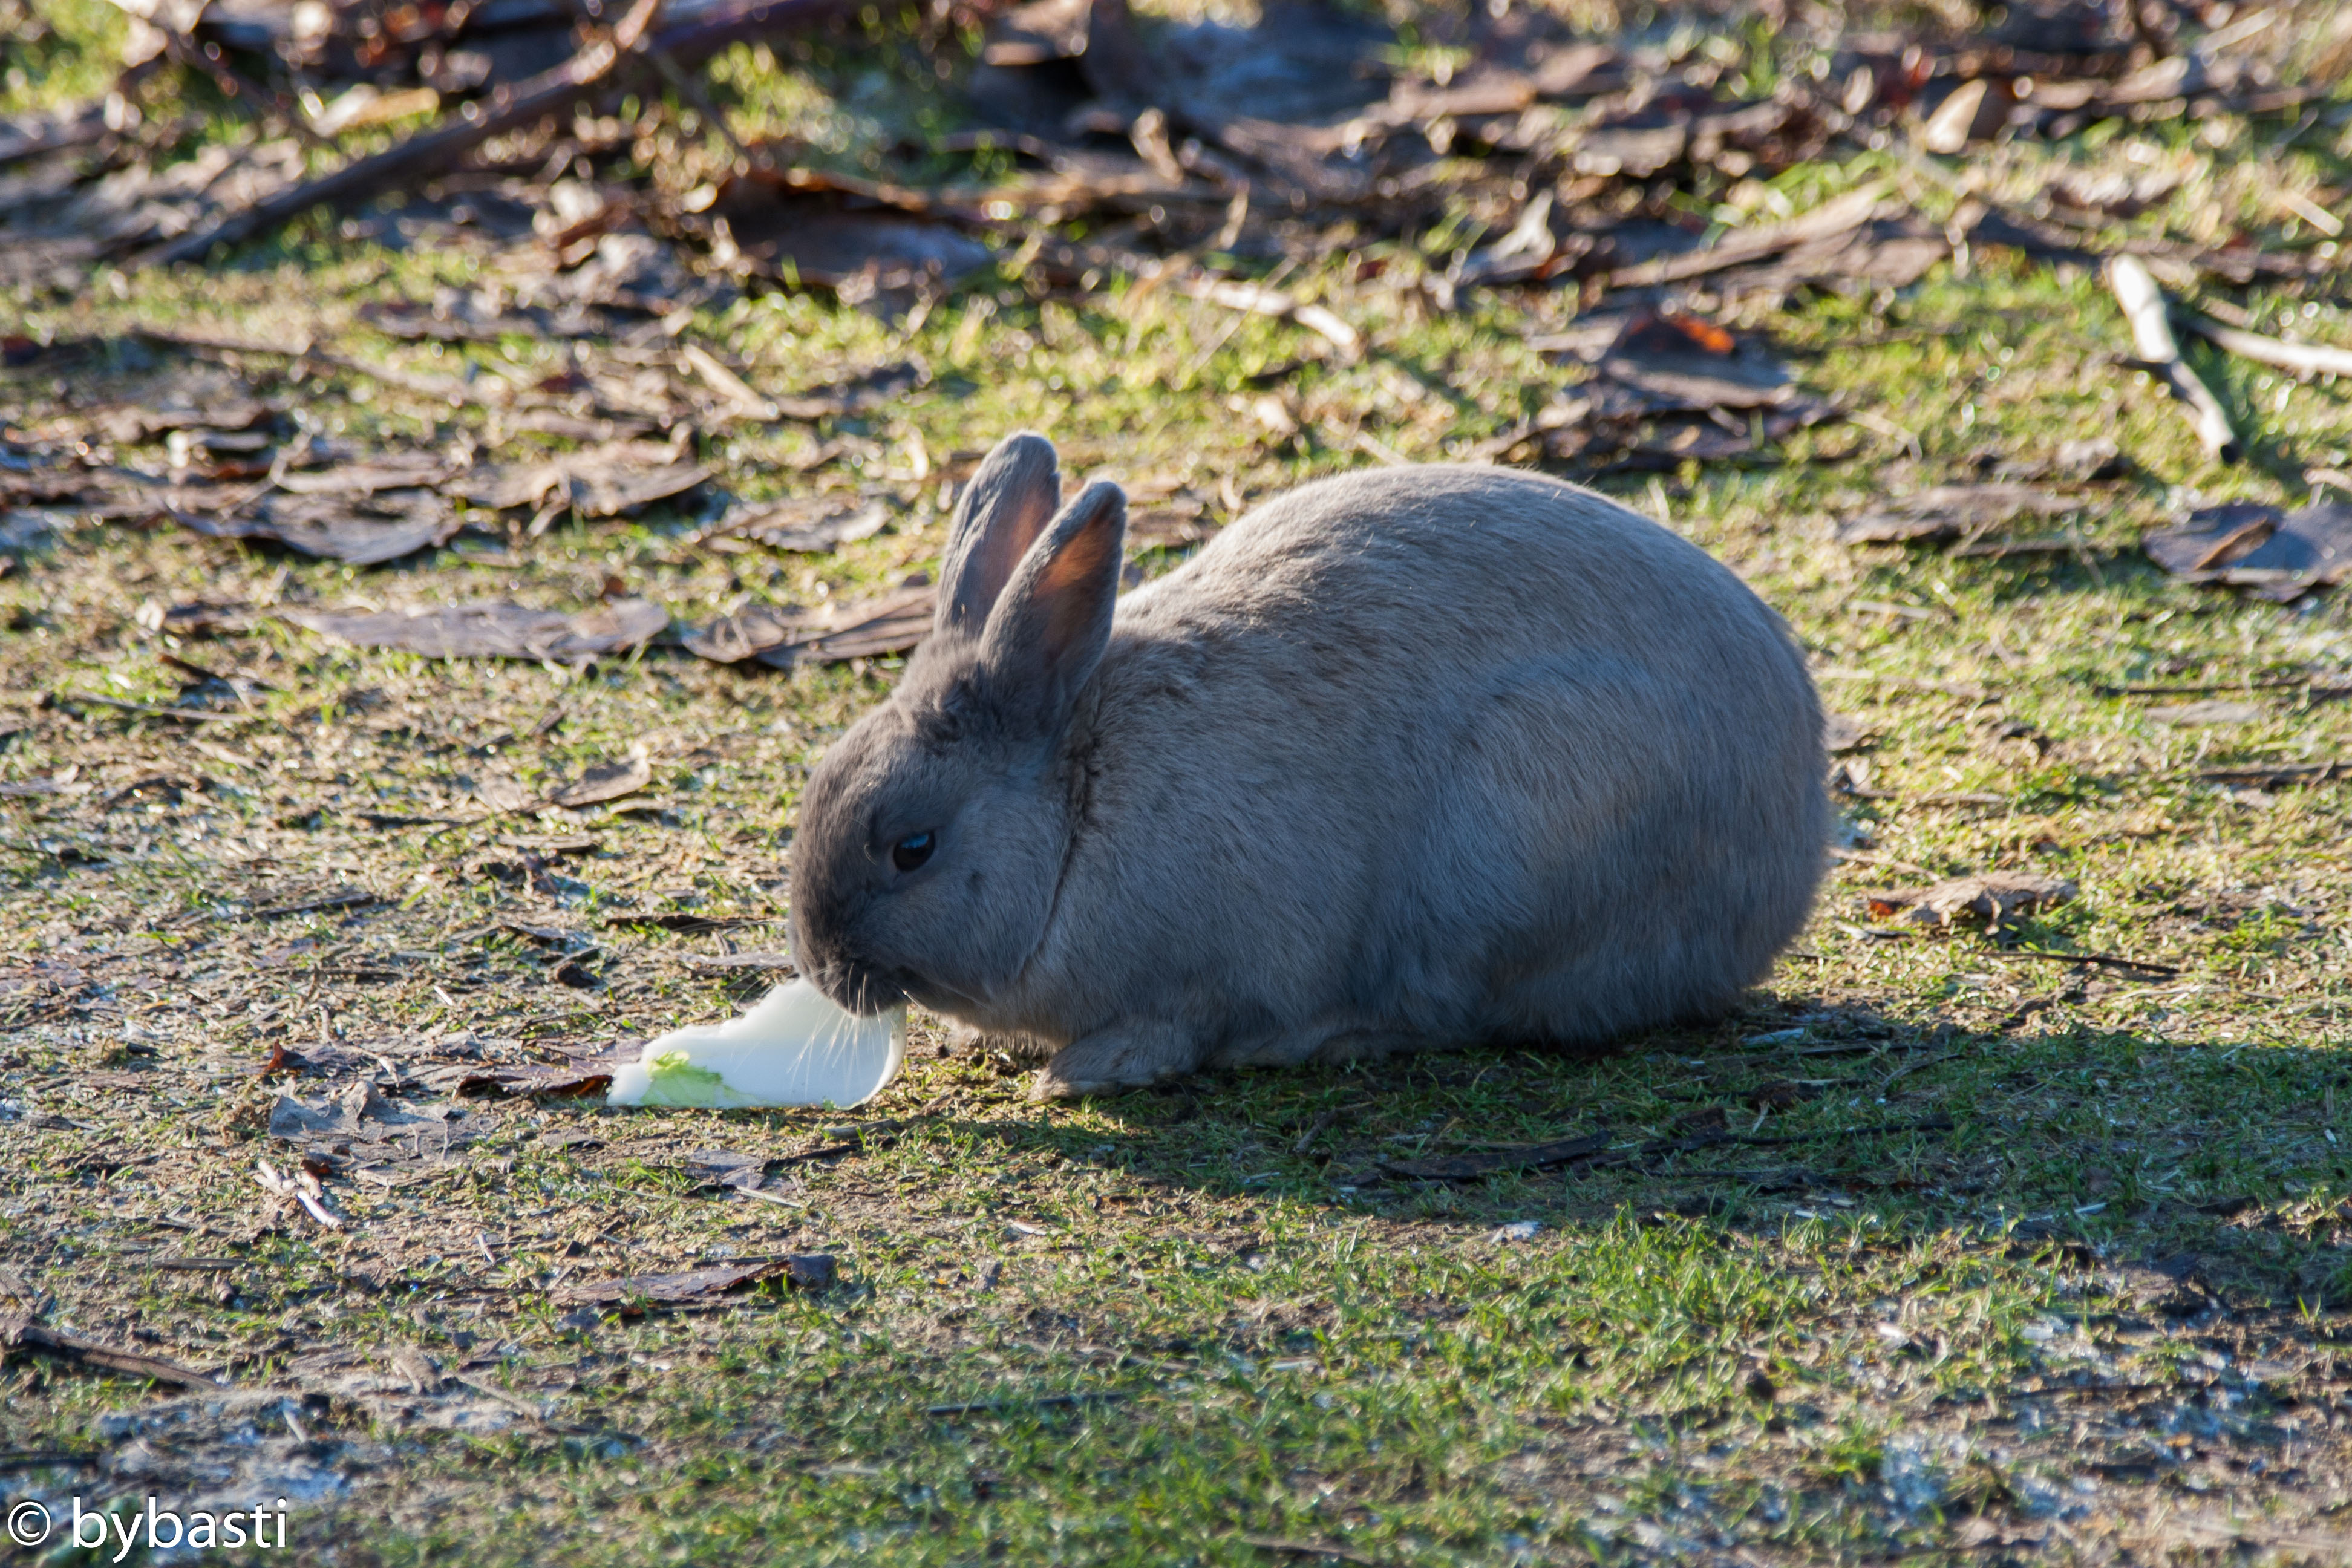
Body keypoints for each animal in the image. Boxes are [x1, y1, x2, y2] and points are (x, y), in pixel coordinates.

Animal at [789, 431, 1828, 1098]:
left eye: (913, 848)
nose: (826, 971)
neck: (1076, 806)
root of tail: (1791, 863)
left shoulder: (1209, 973)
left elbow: (1172, 1027)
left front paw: (1076, 1076)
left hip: (1509, 847)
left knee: (1460, 1011)